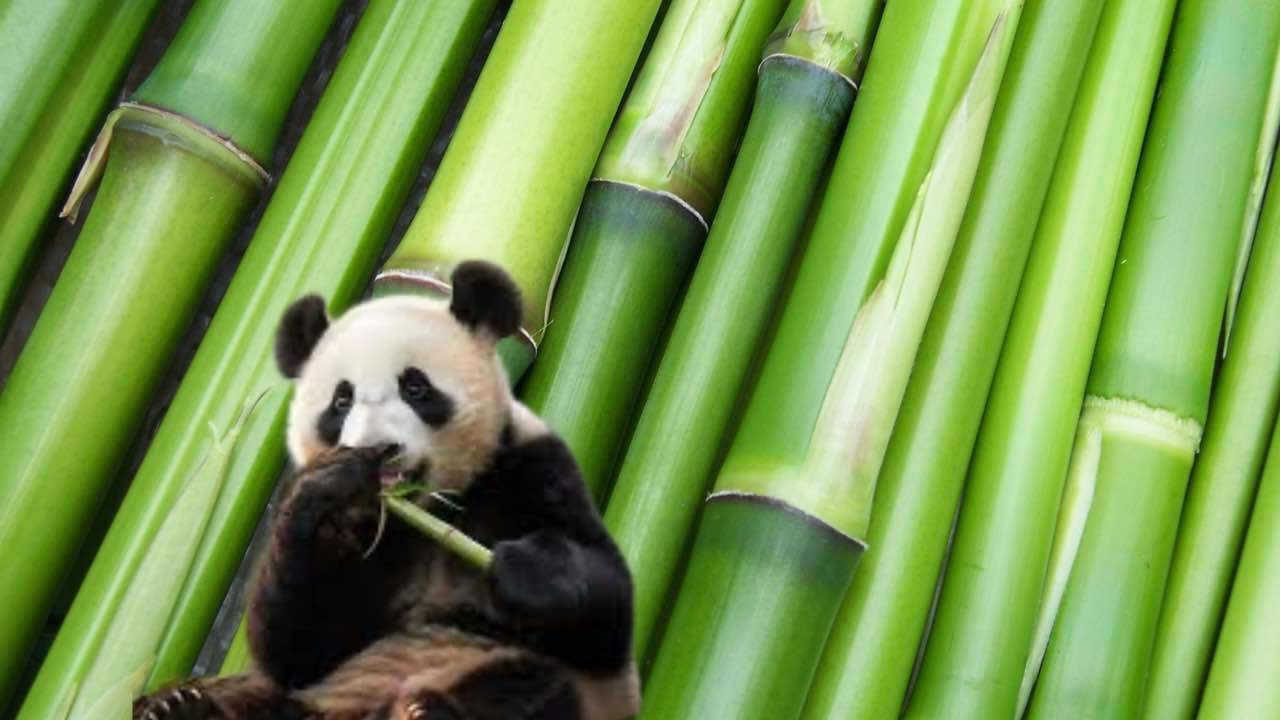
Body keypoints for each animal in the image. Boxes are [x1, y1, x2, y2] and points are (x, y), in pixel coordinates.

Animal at [133, 261, 639, 720]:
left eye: (415, 387)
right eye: (341, 400)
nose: (378, 448)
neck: (429, 515)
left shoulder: (530, 467)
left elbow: (605, 611)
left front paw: (519, 566)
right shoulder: (366, 535)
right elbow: (302, 649)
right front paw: (323, 488)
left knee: (534, 683)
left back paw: (429, 710)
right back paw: (176, 705)